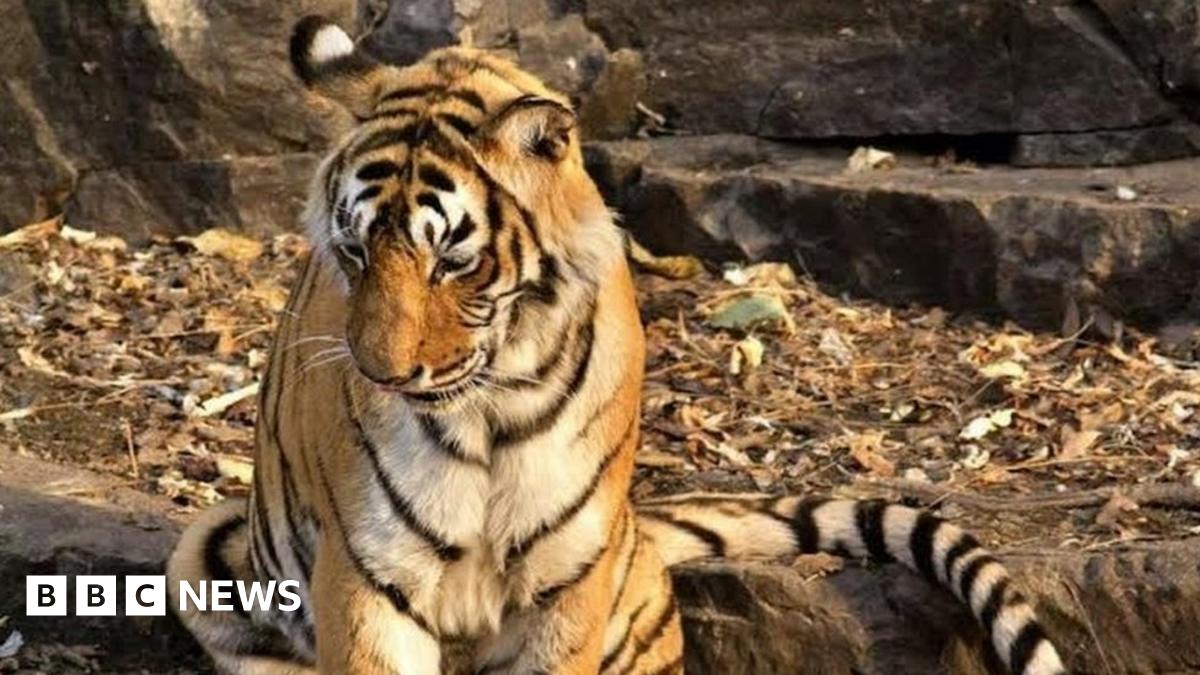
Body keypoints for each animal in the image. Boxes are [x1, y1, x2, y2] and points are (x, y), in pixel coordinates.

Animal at [166, 15, 1068, 675]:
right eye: (354, 251)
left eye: (451, 259)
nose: (382, 373)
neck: (488, 408)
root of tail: (647, 525)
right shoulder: (369, 578)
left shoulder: (568, 579)